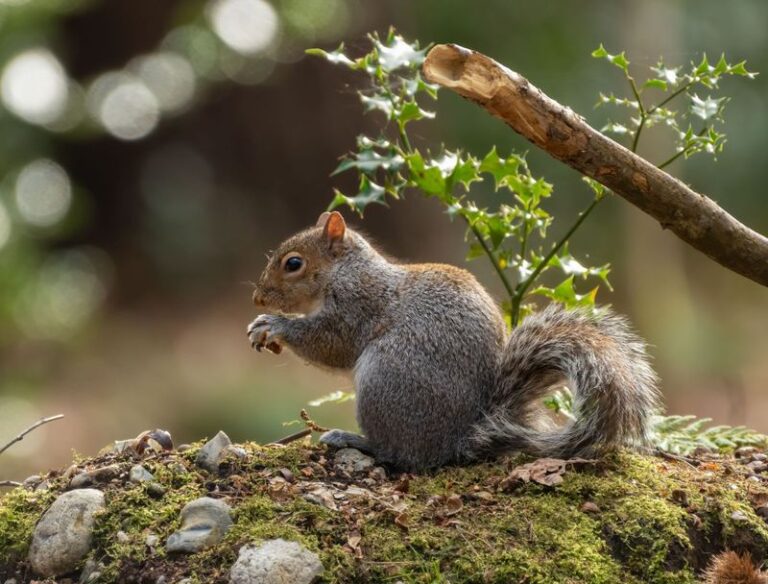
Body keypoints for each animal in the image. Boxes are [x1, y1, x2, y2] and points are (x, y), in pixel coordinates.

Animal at [247, 211, 660, 472]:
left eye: (294, 264)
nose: (258, 298)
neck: (344, 271)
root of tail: (459, 438)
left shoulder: (359, 306)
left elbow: (333, 343)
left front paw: (275, 325)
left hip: (386, 380)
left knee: (401, 455)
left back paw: (350, 439)